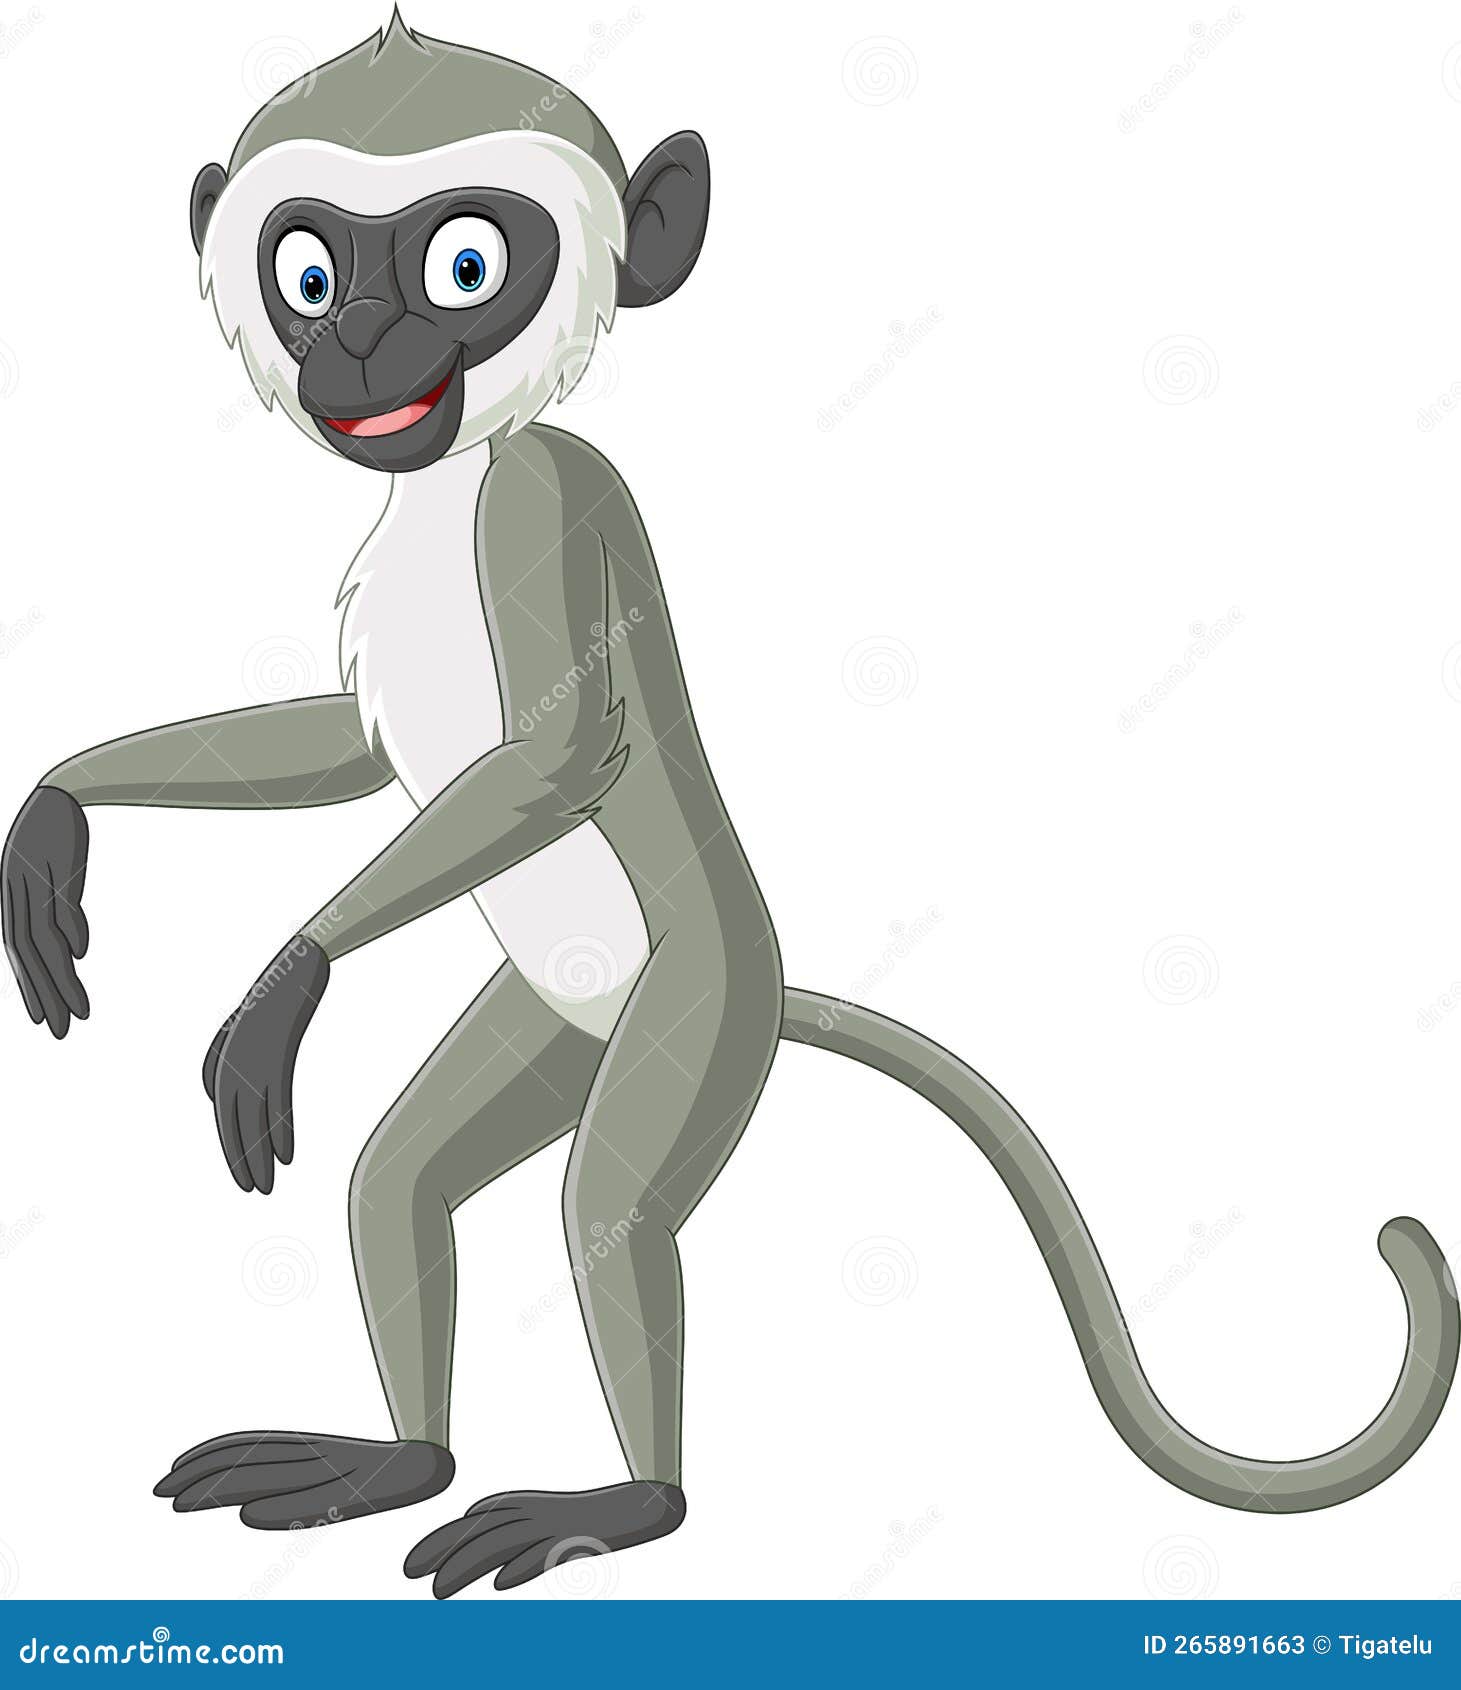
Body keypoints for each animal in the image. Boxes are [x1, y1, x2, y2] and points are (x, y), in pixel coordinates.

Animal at [2, 14, 1456, 1599]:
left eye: (464, 264)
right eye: (309, 275)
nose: (355, 342)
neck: (452, 481)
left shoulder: (542, 504)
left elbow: (555, 756)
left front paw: (285, 978)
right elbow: (360, 757)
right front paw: (56, 815)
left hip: (696, 1008)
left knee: (606, 1205)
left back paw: (629, 1501)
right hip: (557, 1017)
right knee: (403, 1176)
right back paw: (398, 1461)